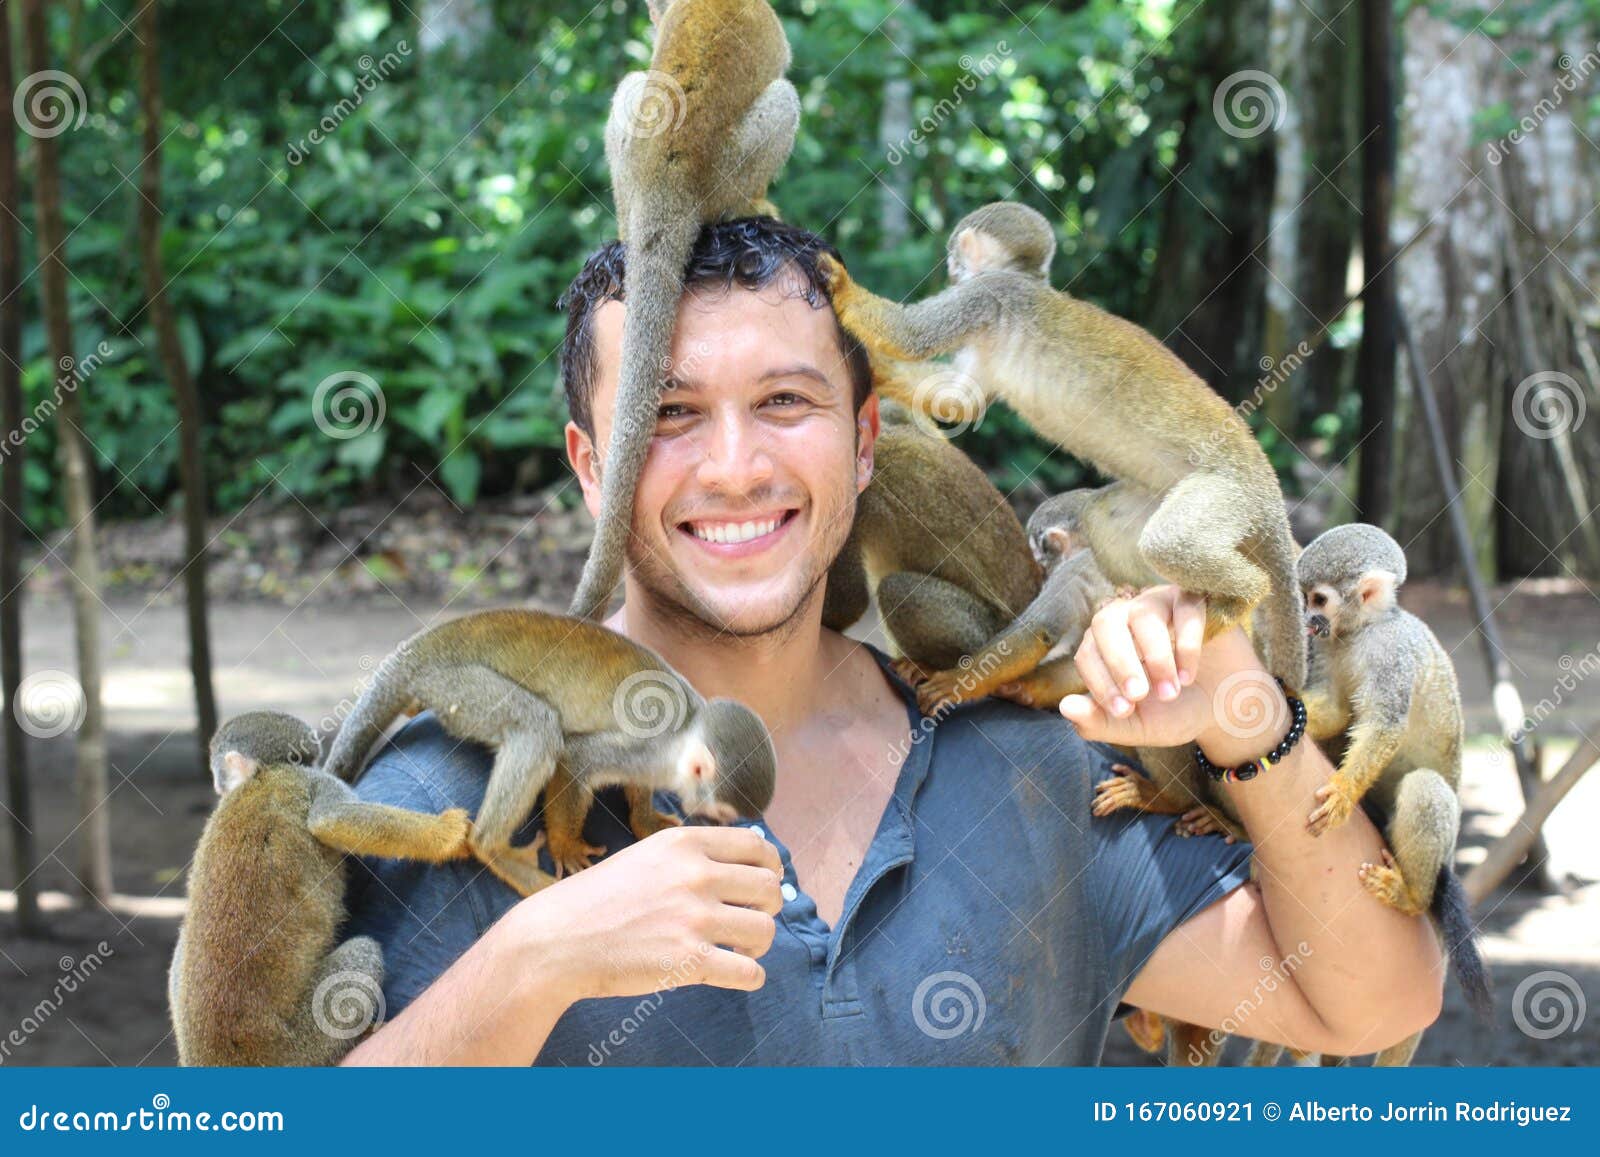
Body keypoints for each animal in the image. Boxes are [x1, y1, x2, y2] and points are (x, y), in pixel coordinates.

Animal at [169, 712, 474, 1066]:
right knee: (363, 953)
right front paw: (448, 834)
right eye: (307, 758)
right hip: (296, 1047)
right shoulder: (309, 779)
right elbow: (332, 819)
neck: (261, 776)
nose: (319, 761)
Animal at [320, 609, 778, 895]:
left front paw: (644, 818)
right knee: (537, 728)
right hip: (457, 684)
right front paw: (567, 846)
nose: (716, 821)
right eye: (724, 814)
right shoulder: (646, 748)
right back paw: (493, 847)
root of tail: (427, 644)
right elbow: (575, 758)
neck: (685, 734)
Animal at [568, 0, 800, 621]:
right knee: (784, 98)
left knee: (631, 87)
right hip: (730, 168)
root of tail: (667, 167)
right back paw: (752, 203)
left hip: (631, 149)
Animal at [1291, 522, 1491, 1065]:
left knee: (1427, 790)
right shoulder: (1330, 647)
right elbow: (1337, 709)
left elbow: (1384, 722)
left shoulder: (1391, 653)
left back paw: (1413, 898)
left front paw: (1342, 793)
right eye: (1303, 597)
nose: (1309, 620)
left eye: (1319, 598)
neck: (1361, 631)